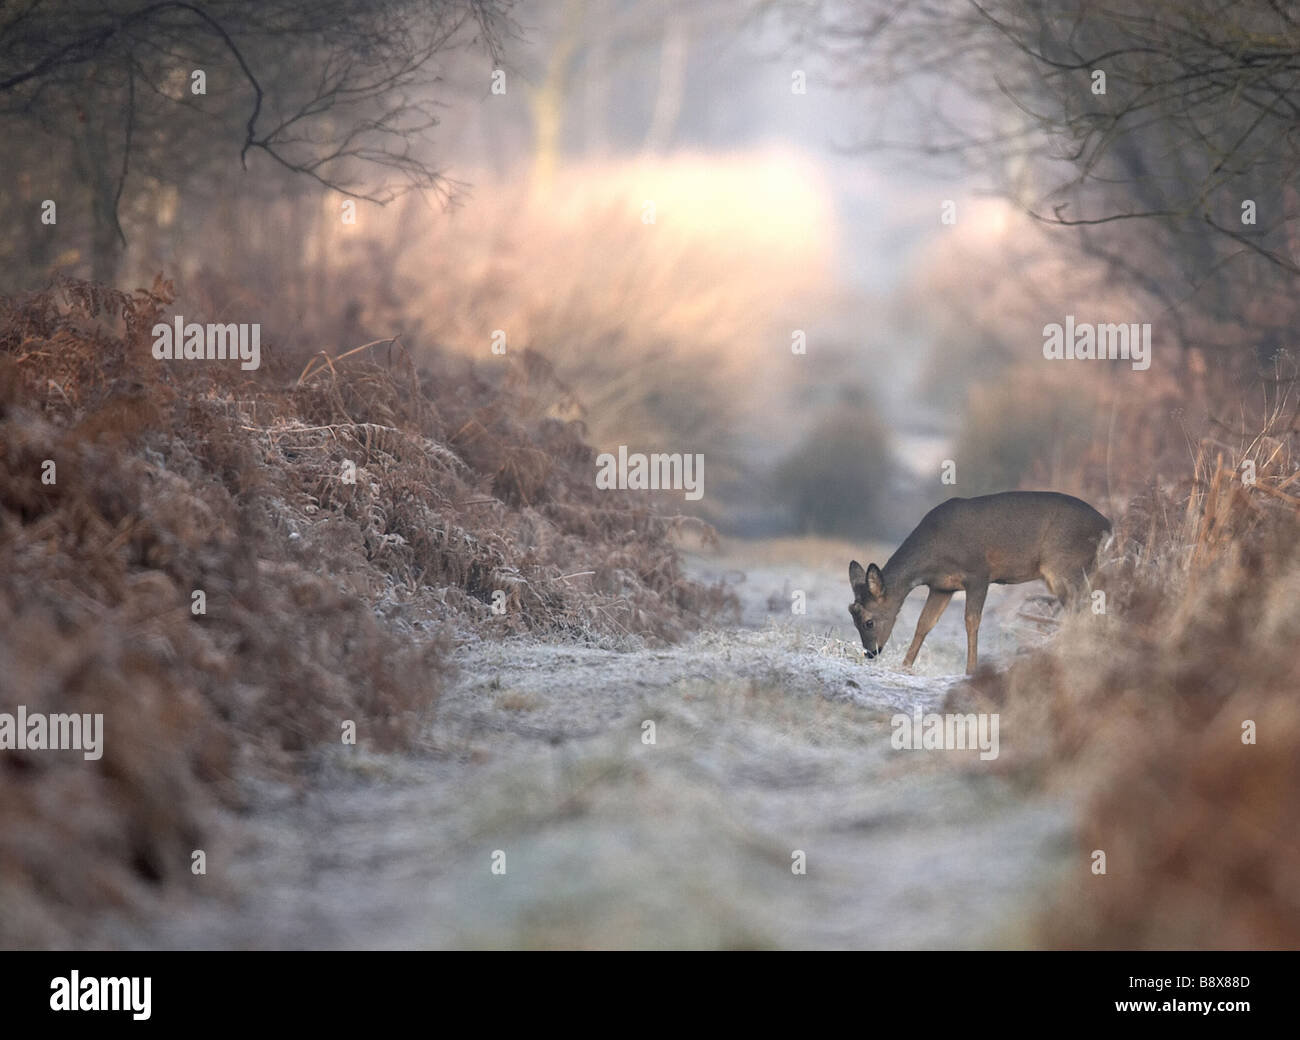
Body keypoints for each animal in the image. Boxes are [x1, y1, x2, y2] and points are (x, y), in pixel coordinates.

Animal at [848, 491, 1110, 674]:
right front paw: (905, 665)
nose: (871, 652)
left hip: (1065, 567)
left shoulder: (978, 574)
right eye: (852, 616)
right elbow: (924, 623)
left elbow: (971, 621)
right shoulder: (942, 586)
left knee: (1081, 611)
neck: (934, 551)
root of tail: (1107, 524)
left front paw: (970, 670)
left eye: (869, 621)